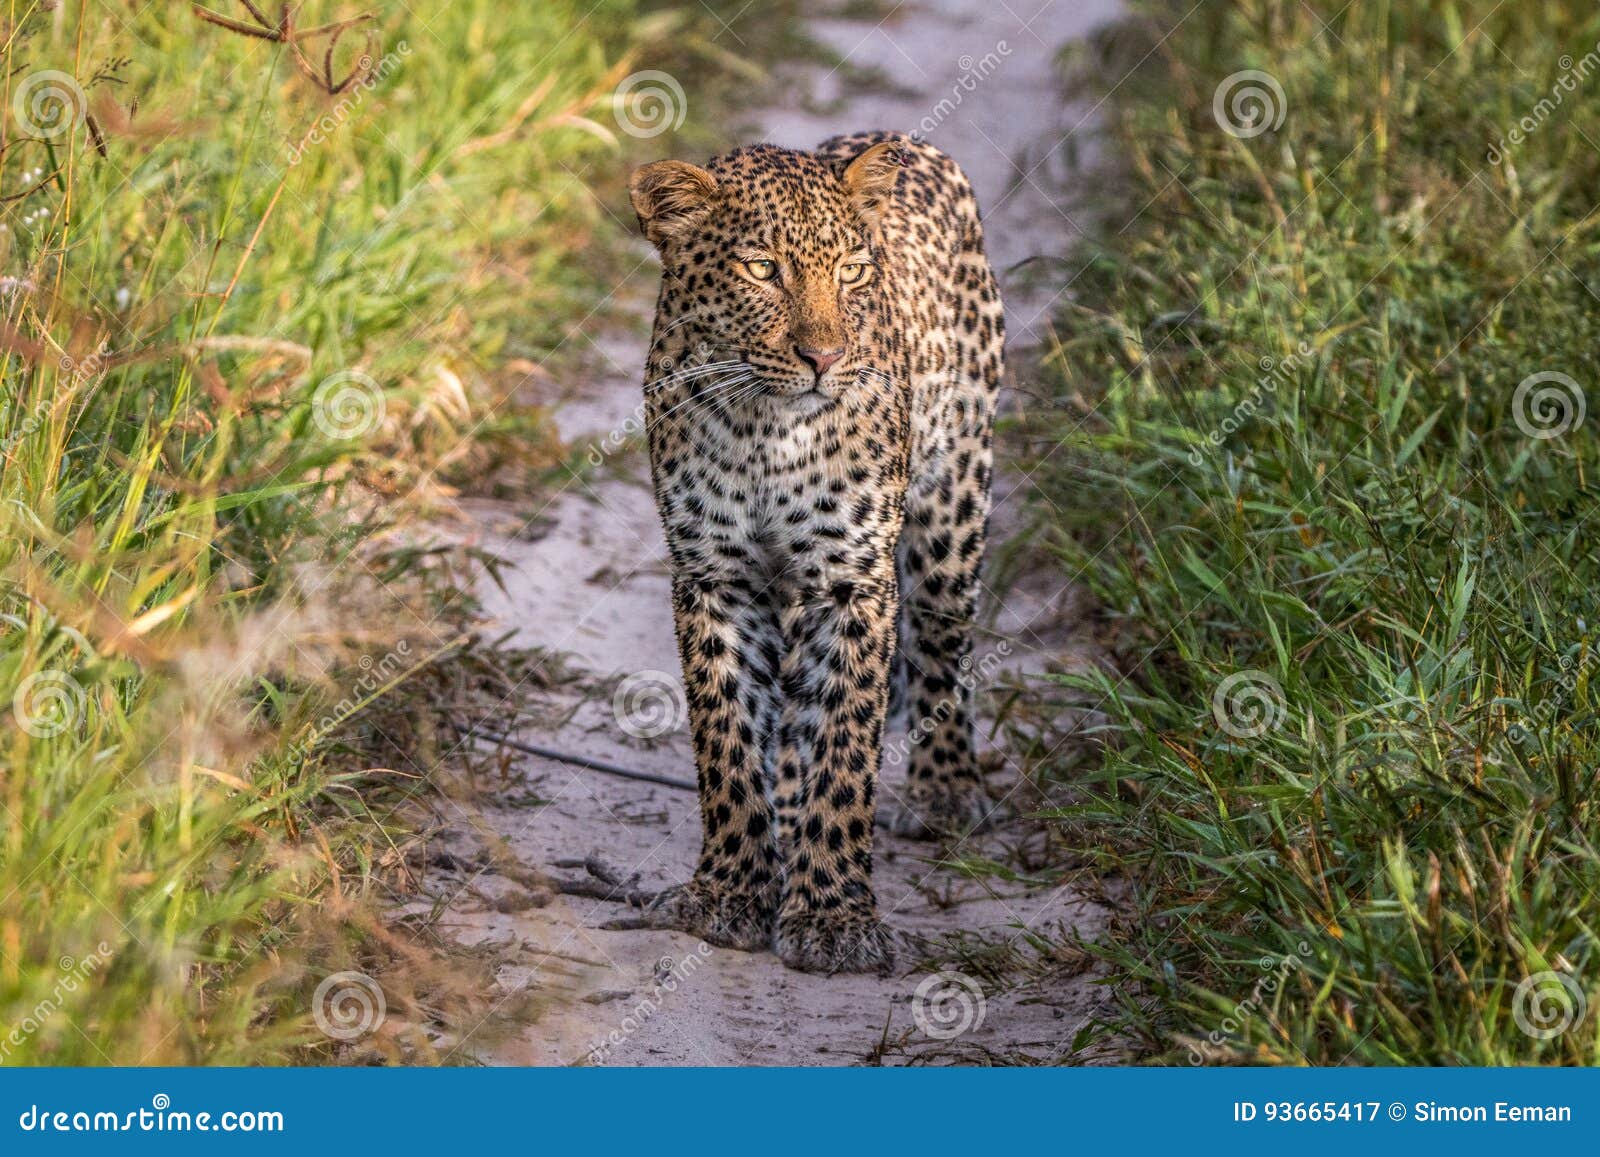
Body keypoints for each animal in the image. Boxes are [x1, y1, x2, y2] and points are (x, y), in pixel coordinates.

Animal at [627, 131, 1004, 974]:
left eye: (852, 272)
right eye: (763, 269)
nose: (824, 357)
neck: (766, 430)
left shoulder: (851, 581)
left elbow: (845, 743)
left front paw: (834, 915)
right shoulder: (715, 575)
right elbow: (727, 741)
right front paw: (729, 892)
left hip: (955, 498)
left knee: (940, 642)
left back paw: (945, 790)